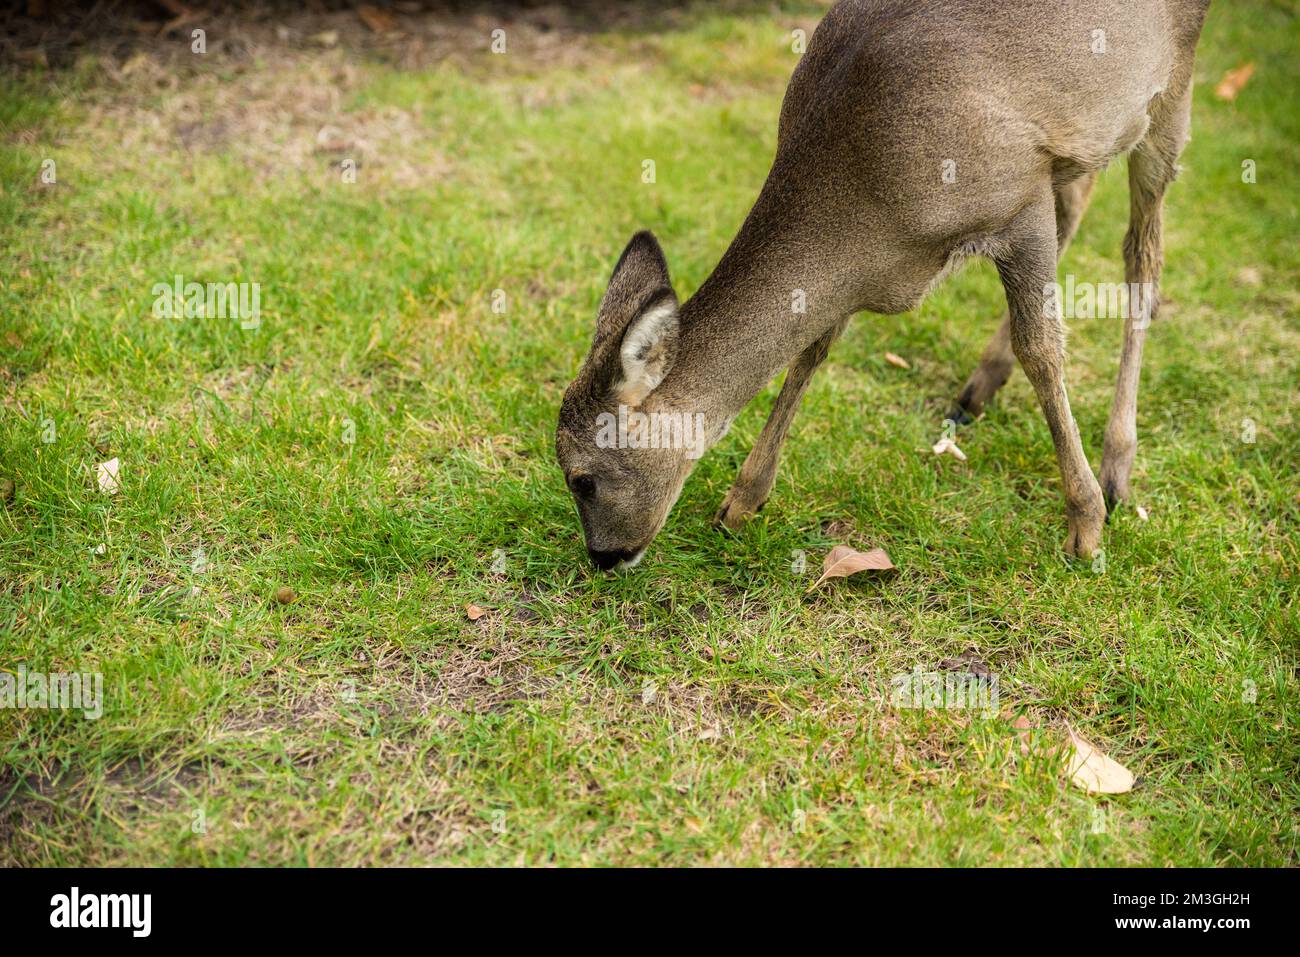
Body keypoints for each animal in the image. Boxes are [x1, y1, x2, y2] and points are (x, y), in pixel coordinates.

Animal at [557, 0, 1211, 571]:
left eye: (581, 478)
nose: (602, 558)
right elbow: (813, 347)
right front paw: (742, 501)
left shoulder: (1020, 195)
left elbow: (1044, 351)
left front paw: (1085, 526)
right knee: (1083, 199)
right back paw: (979, 389)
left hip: (1173, 82)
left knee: (1142, 254)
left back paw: (1116, 467)